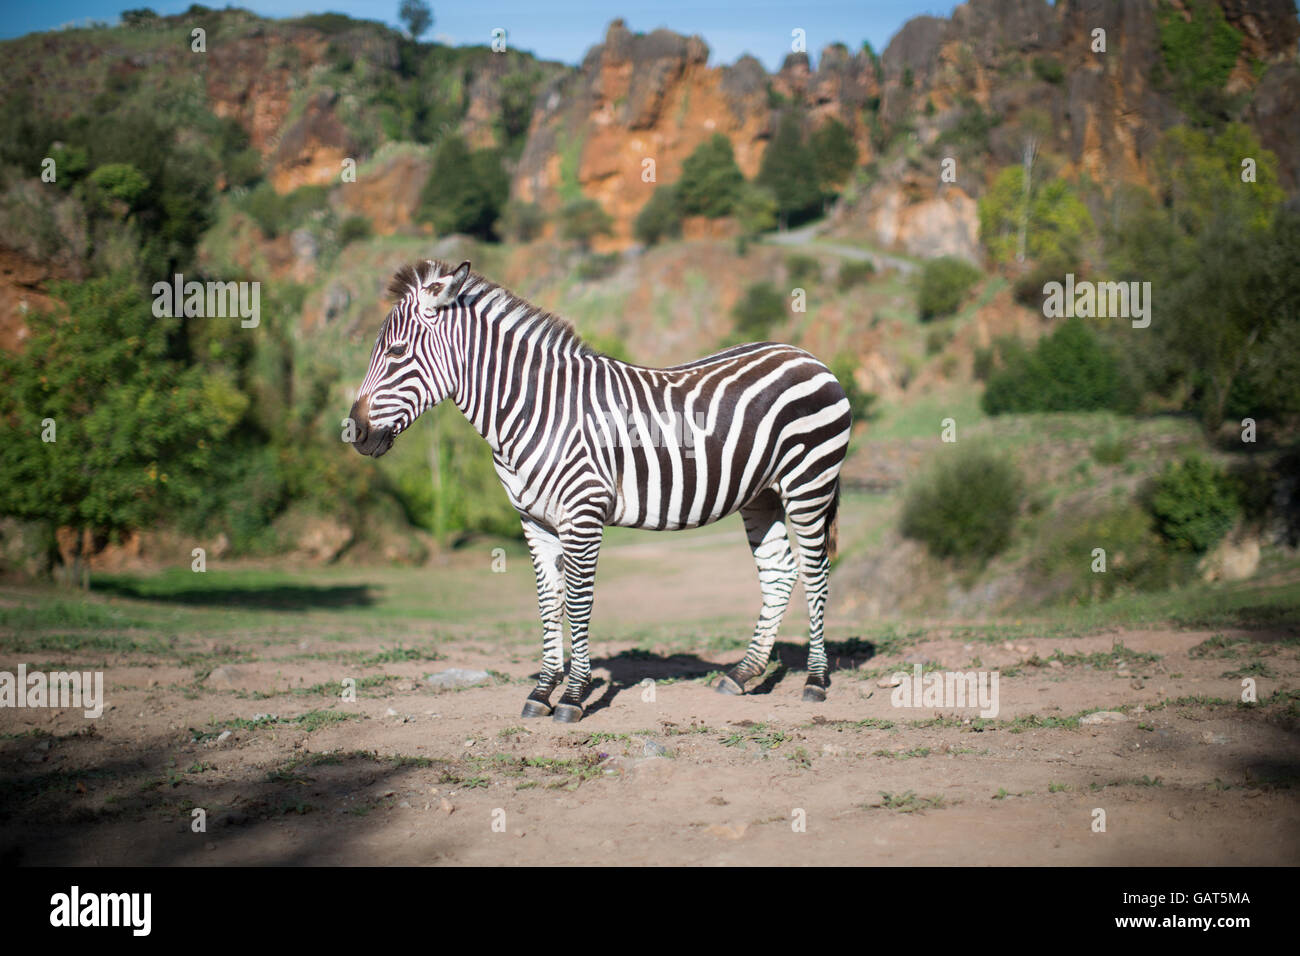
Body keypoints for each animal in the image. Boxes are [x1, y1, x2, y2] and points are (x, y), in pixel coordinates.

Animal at [349, 259, 852, 723]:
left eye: (395, 352)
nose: (352, 432)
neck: (534, 409)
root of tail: (807, 356)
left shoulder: (583, 511)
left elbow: (578, 600)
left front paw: (572, 697)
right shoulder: (534, 519)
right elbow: (548, 601)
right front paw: (541, 692)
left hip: (809, 483)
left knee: (816, 573)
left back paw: (815, 681)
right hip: (761, 495)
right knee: (779, 573)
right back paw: (742, 674)